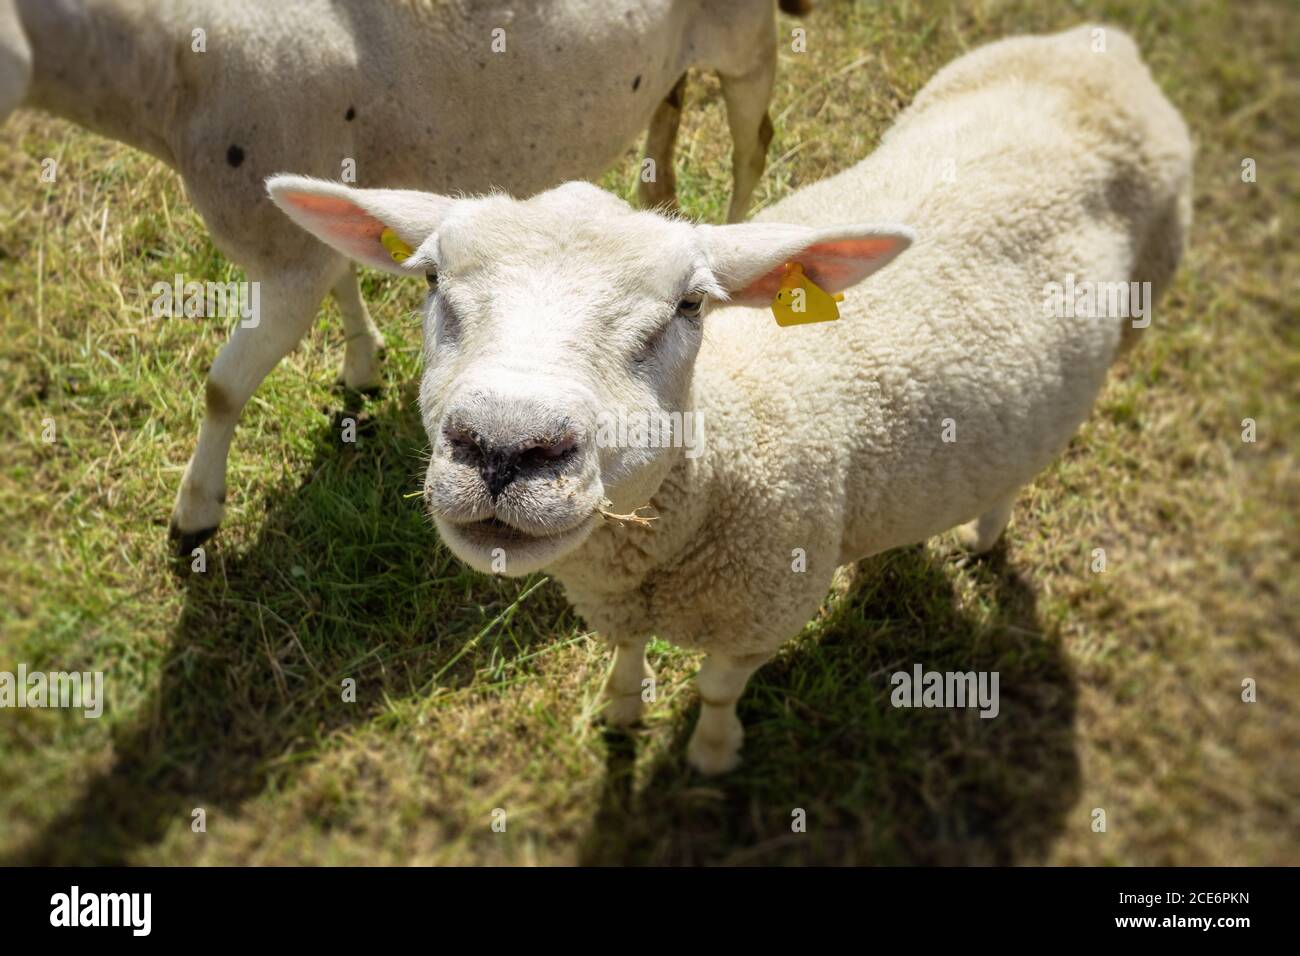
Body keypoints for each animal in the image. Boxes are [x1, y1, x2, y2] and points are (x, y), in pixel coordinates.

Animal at [0, 0, 803, 553]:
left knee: (751, 141)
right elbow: (346, 267)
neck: (164, 66)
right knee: (670, 109)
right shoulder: (316, 208)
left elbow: (222, 387)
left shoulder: (284, 265)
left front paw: (196, 512)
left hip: (743, 37)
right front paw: (363, 361)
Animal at [268, 24, 1193, 774]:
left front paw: (712, 756)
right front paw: (620, 711)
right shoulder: (617, 598)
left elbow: (716, 690)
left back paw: (989, 529)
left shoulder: (763, 615)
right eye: (430, 279)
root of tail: (1101, 43)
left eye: (688, 305)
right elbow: (626, 654)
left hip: (1144, 297)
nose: (503, 446)